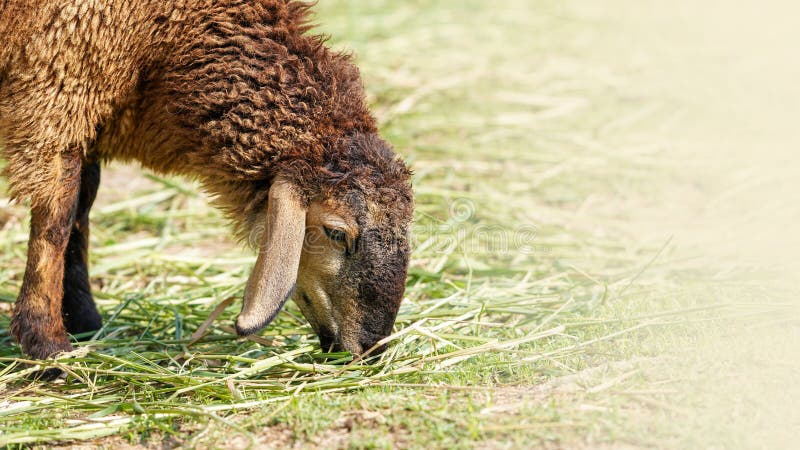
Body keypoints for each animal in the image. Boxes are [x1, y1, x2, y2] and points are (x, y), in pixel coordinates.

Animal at [0, 0, 414, 361]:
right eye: (335, 232)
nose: (372, 349)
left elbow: (80, 210)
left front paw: (84, 321)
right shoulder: (59, 76)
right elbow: (56, 218)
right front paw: (47, 346)